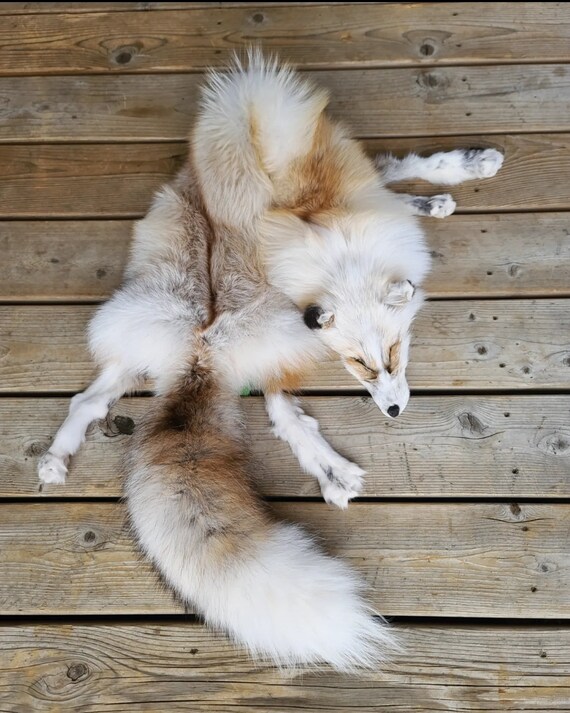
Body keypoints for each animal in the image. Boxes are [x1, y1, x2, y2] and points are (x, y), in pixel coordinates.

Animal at [37, 53, 503, 669]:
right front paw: (461, 173)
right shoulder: (358, 178)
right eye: (367, 363)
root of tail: (201, 348)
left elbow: (399, 177)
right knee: (283, 411)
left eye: (394, 352)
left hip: (135, 352)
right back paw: (333, 472)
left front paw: (441, 191)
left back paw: (54, 460)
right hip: (287, 333)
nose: (395, 412)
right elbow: (406, 167)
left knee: (88, 401)